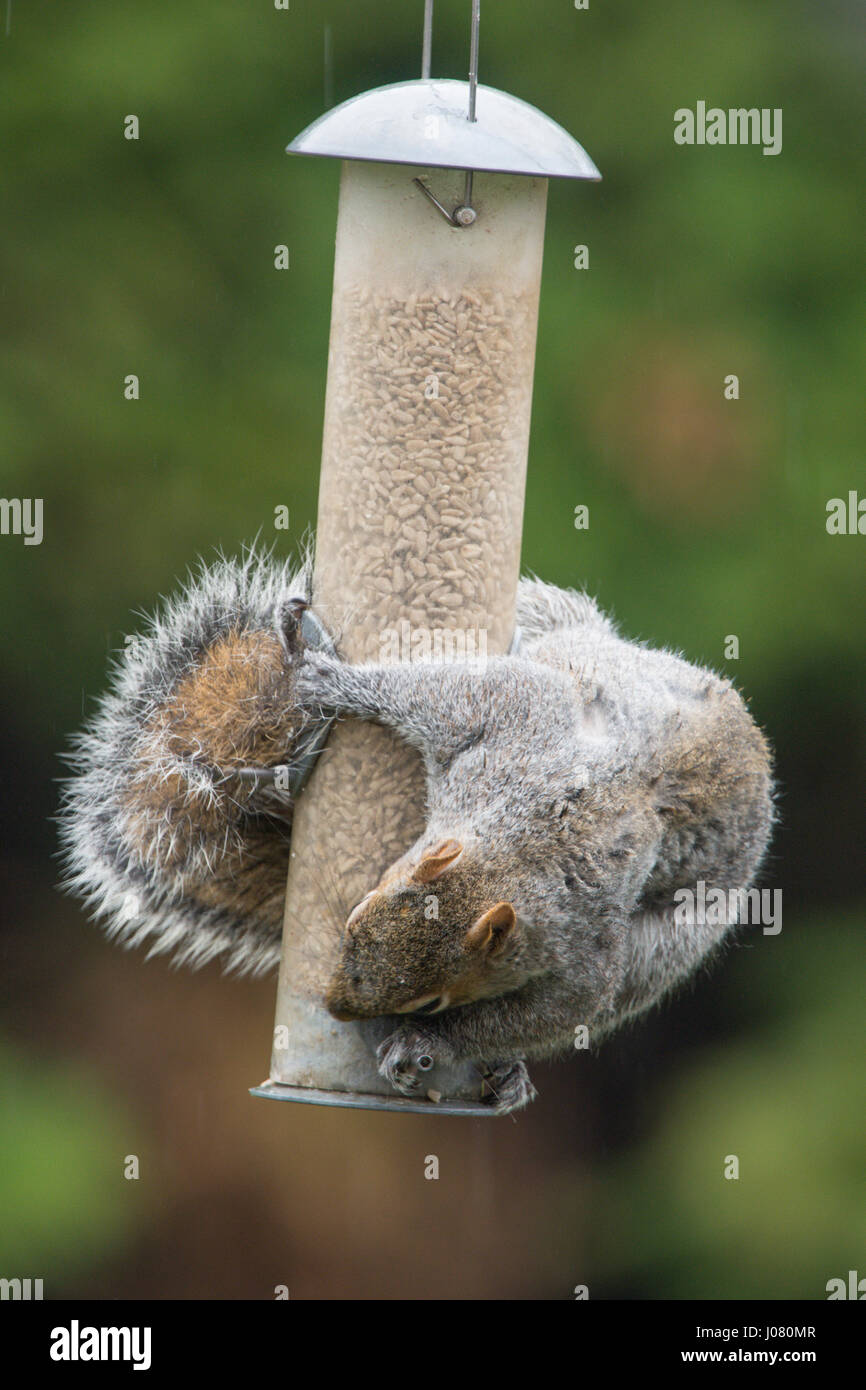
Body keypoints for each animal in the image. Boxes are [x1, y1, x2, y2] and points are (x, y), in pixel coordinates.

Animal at [61, 548, 774, 1112]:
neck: (529, 848)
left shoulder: (583, 957)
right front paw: (330, 677)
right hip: (559, 622)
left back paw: (508, 1076)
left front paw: (424, 1045)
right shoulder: (509, 726)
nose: (336, 1009)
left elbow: (553, 1012)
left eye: (431, 1004)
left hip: (666, 944)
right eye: (353, 915)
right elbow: (432, 696)